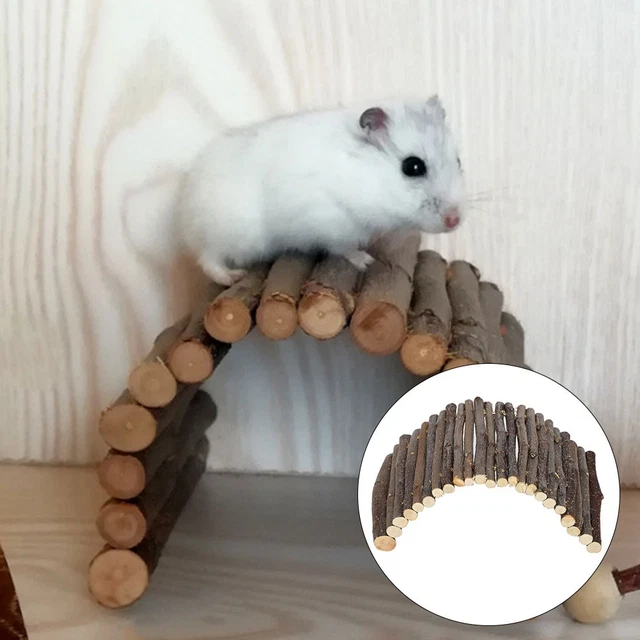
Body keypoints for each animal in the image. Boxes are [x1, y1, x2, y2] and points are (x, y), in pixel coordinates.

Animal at [177, 95, 465, 285]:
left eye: (459, 161)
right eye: (413, 167)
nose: (455, 221)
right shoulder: (330, 223)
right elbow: (343, 248)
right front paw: (365, 261)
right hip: (226, 232)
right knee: (208, 259)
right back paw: (232, 277)